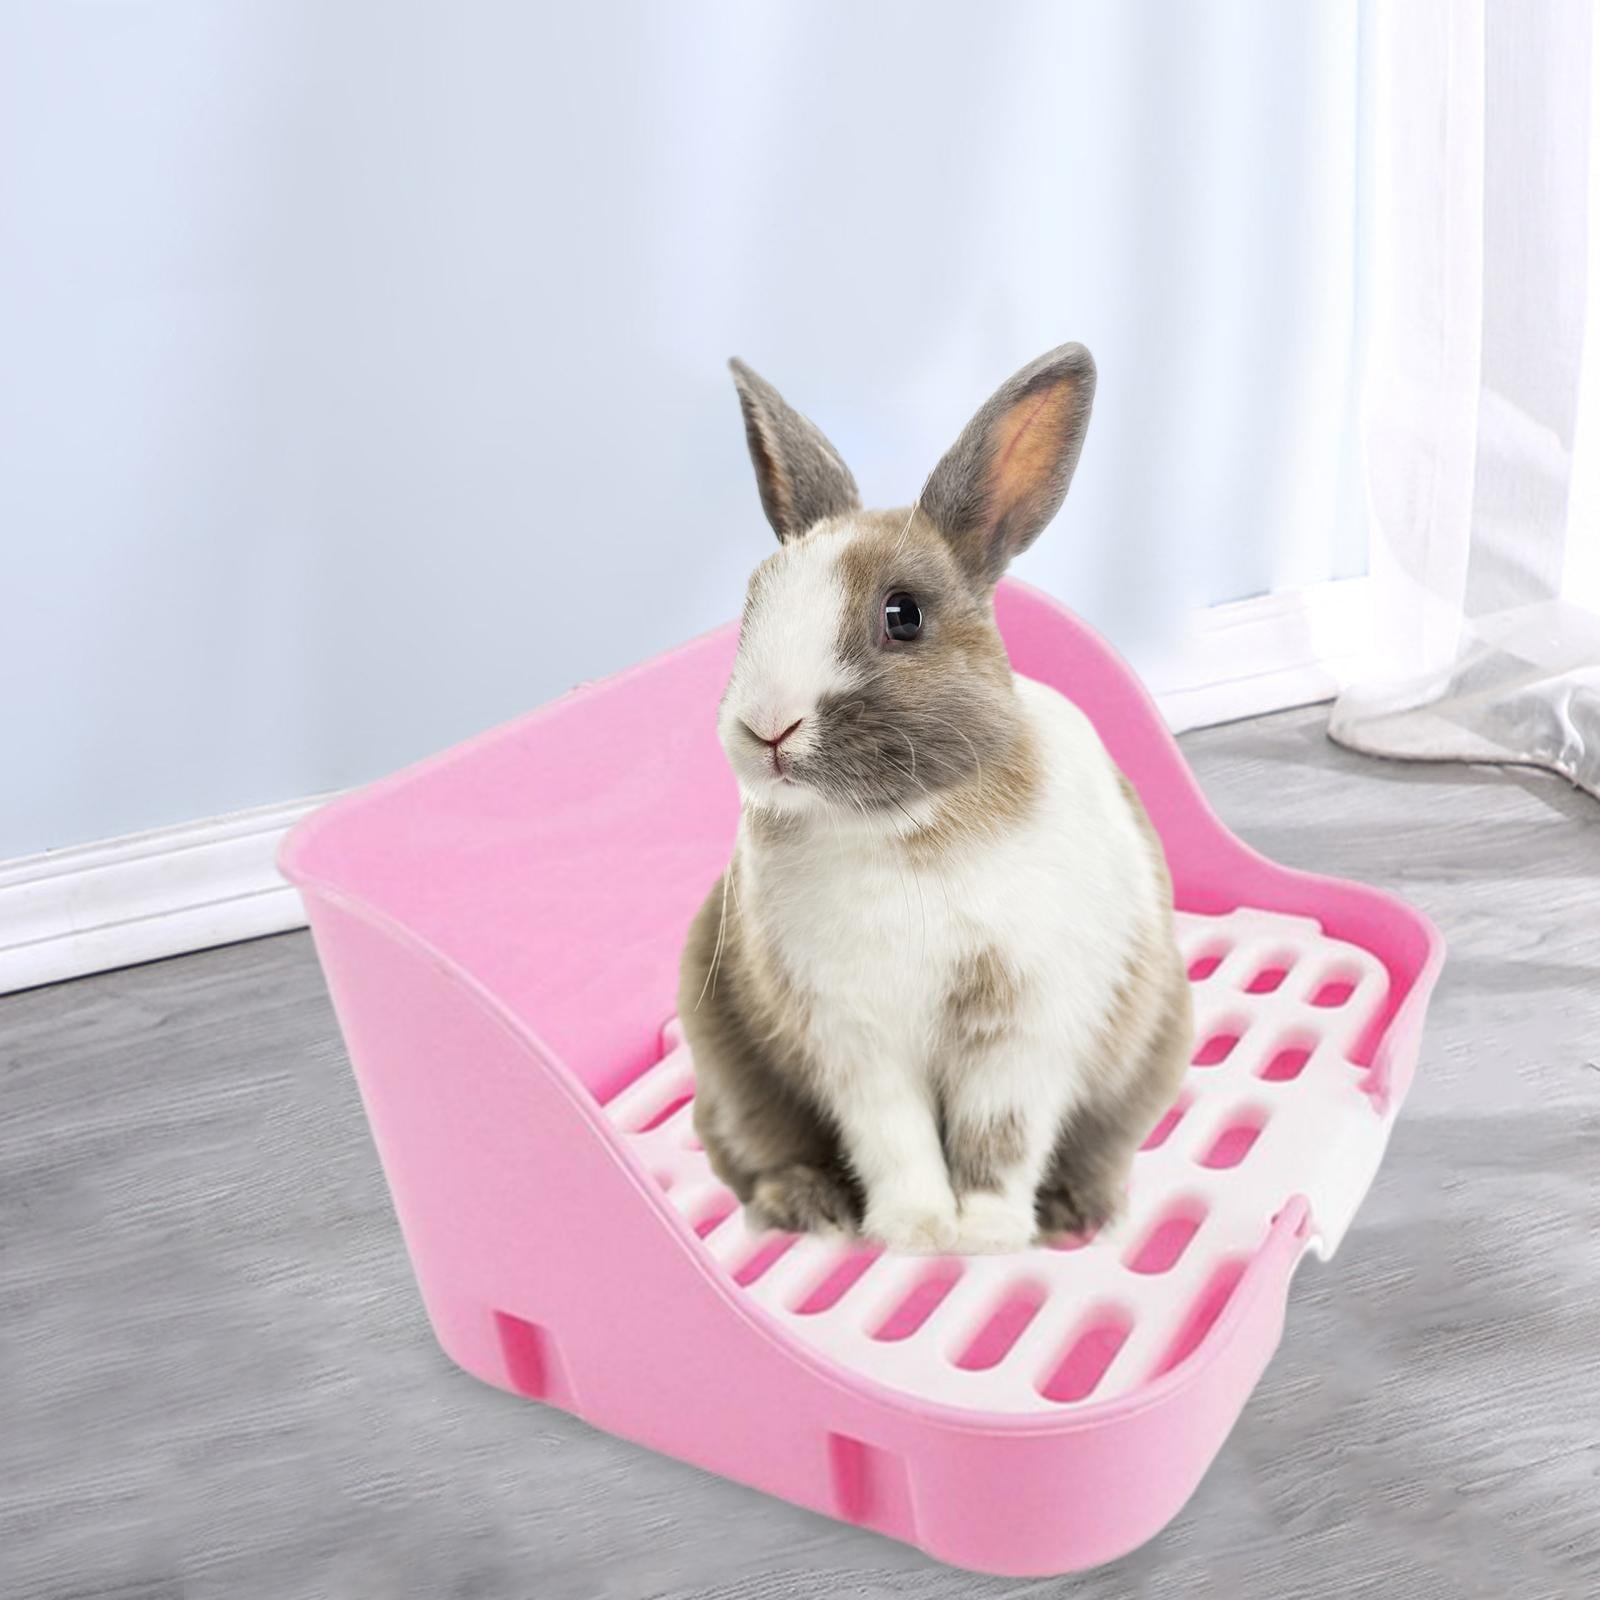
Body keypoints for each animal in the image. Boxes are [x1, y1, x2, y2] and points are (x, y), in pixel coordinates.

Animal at [677, 343, 1192, 1255]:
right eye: (753, 602)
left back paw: (1077, 1214)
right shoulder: (855, 1042)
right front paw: (915, 1231)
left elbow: (1000, 1136)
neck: (899, 829)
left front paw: (985, 1234)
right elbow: (895, 1138)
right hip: (731, 1072)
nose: (767, 728)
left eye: (904, 615)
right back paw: (810, 1209)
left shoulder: (1021, 1031)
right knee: (760, 1152)